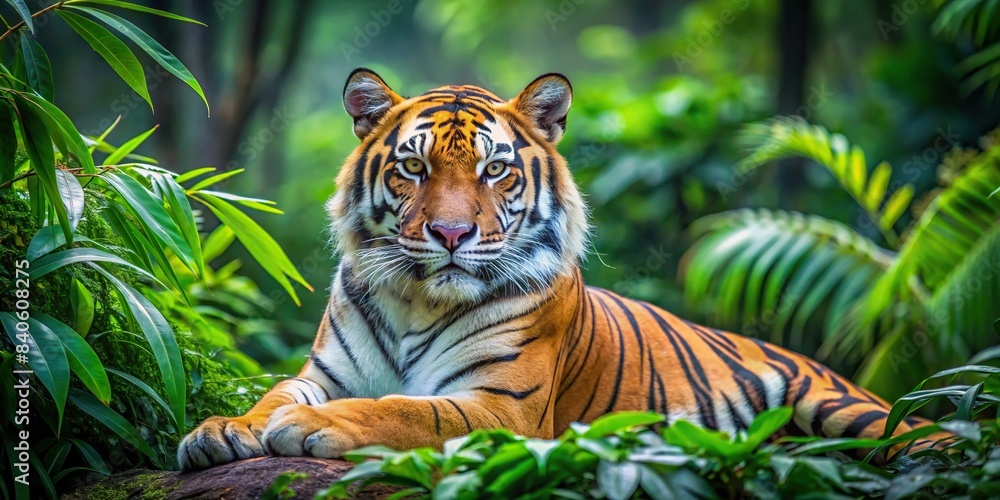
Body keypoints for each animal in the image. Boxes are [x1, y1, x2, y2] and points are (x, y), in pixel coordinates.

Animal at [178, 68, 941, 470]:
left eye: (494, 170)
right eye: (413, 168)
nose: (451, 233)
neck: (418, 302)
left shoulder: (502, 408)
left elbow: (405, 409)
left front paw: (313, 428)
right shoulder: (326, 372)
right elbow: (276, 393)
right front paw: (224, 429)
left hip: (853, 412)